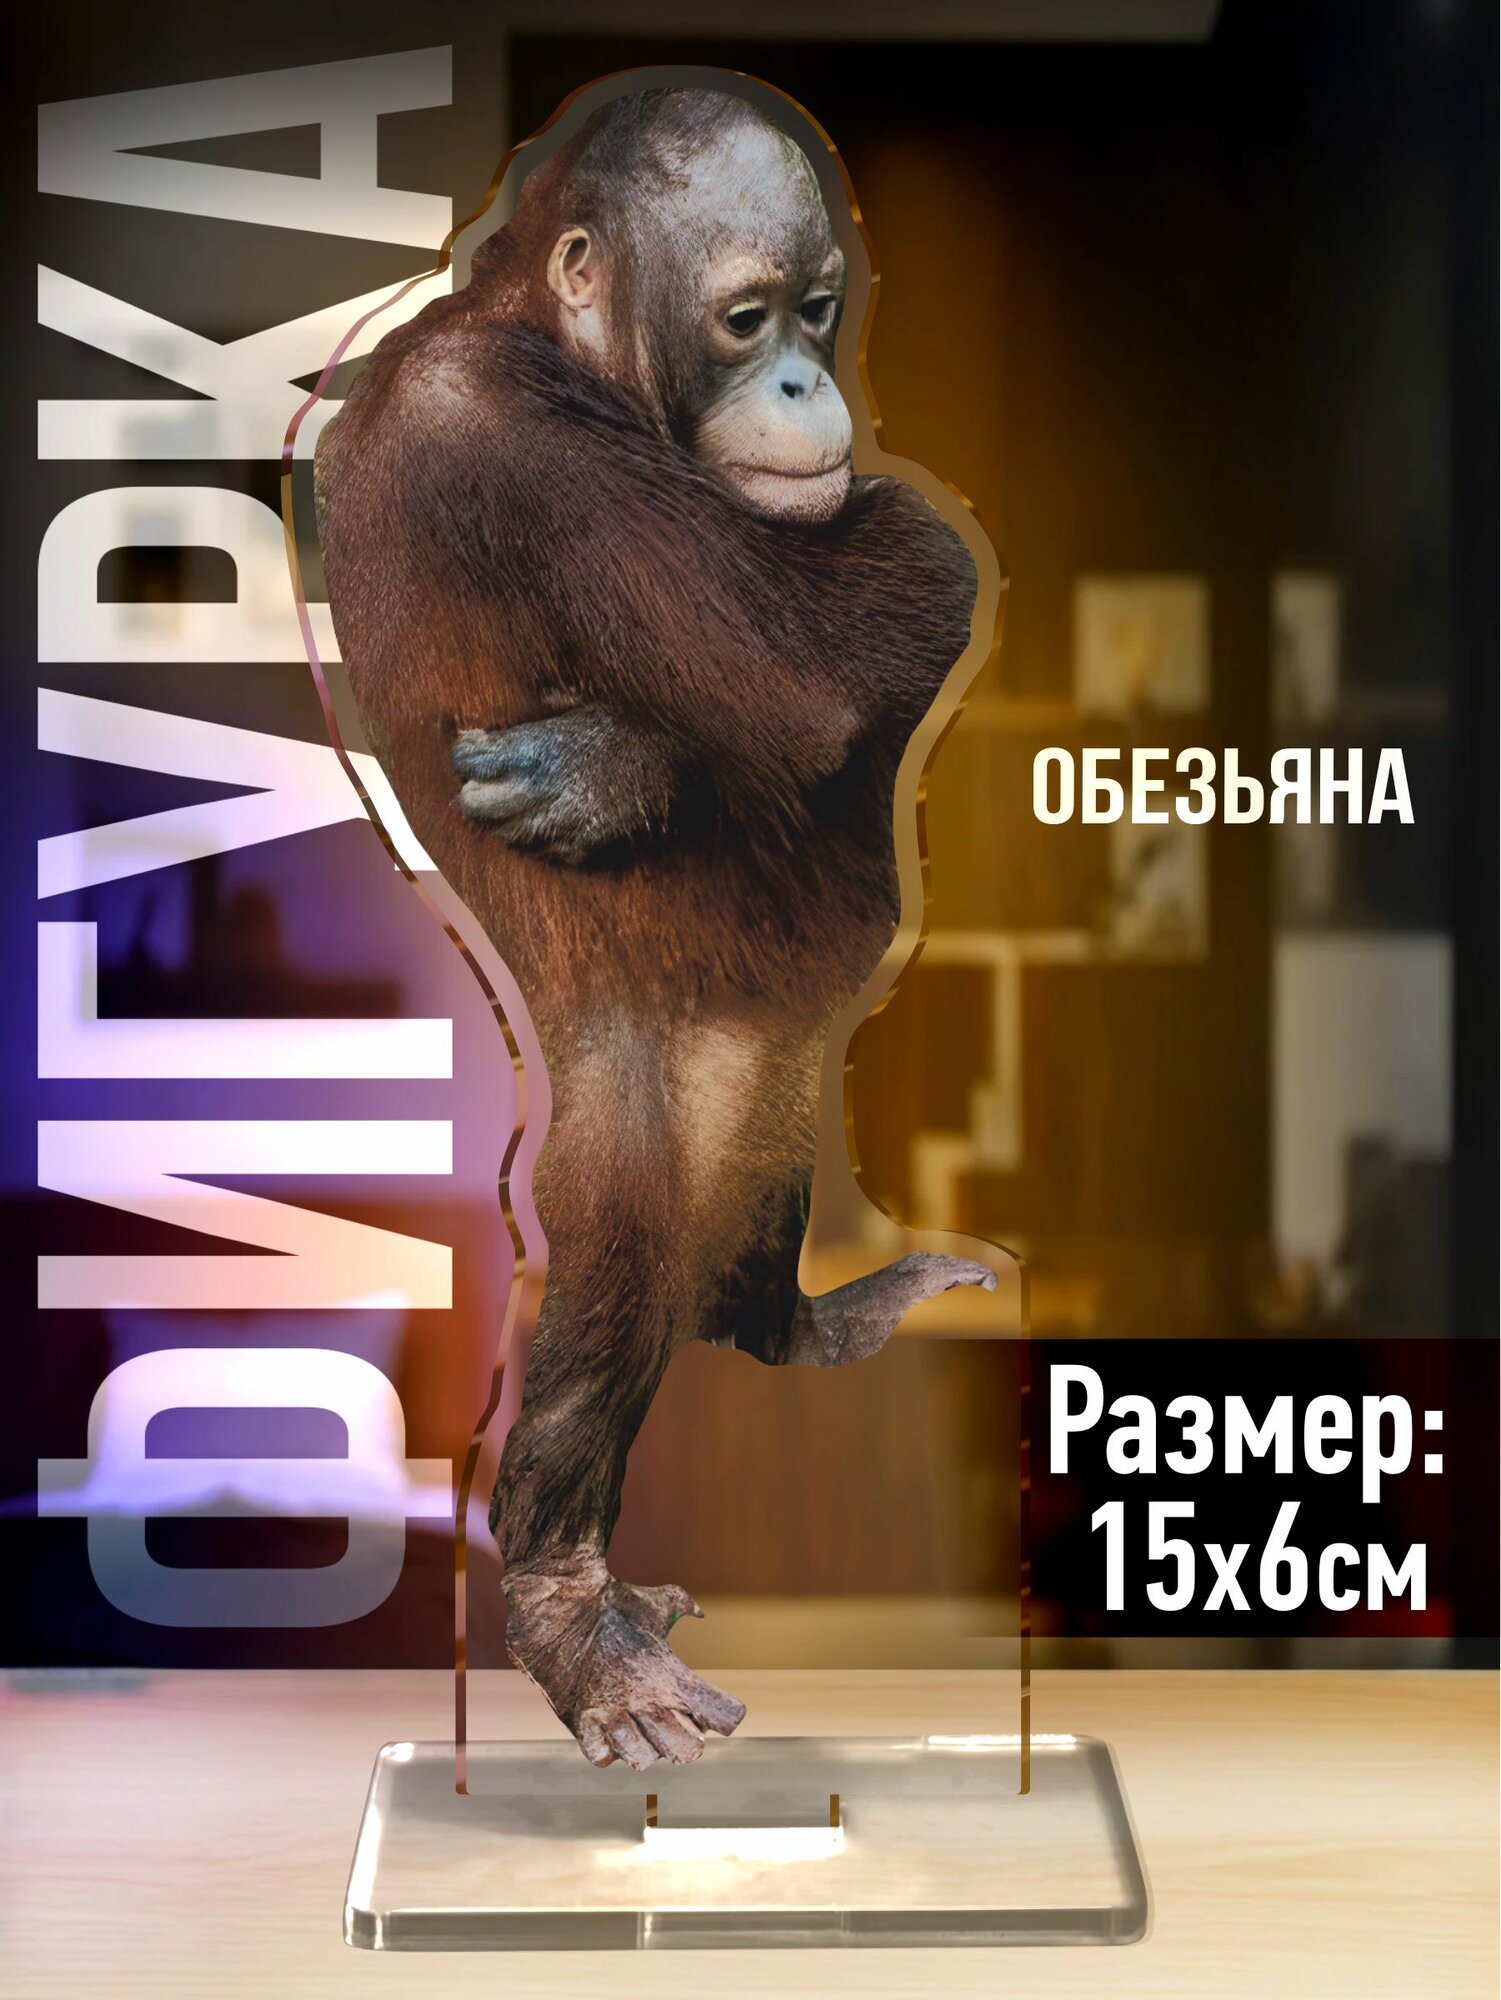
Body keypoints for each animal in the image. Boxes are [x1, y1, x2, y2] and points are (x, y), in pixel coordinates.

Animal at [314, 84, 997, 1774]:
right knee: (620, 1223)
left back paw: (795, 1328)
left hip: (750, 1049)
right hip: (605, 1066)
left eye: (819, 312)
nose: (810, 379)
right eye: (745, 321)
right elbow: (810, 663)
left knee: (745, 1157)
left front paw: (610, 767)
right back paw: (572, 1610)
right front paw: (622, 765)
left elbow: (891, 592)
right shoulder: (501, 431)